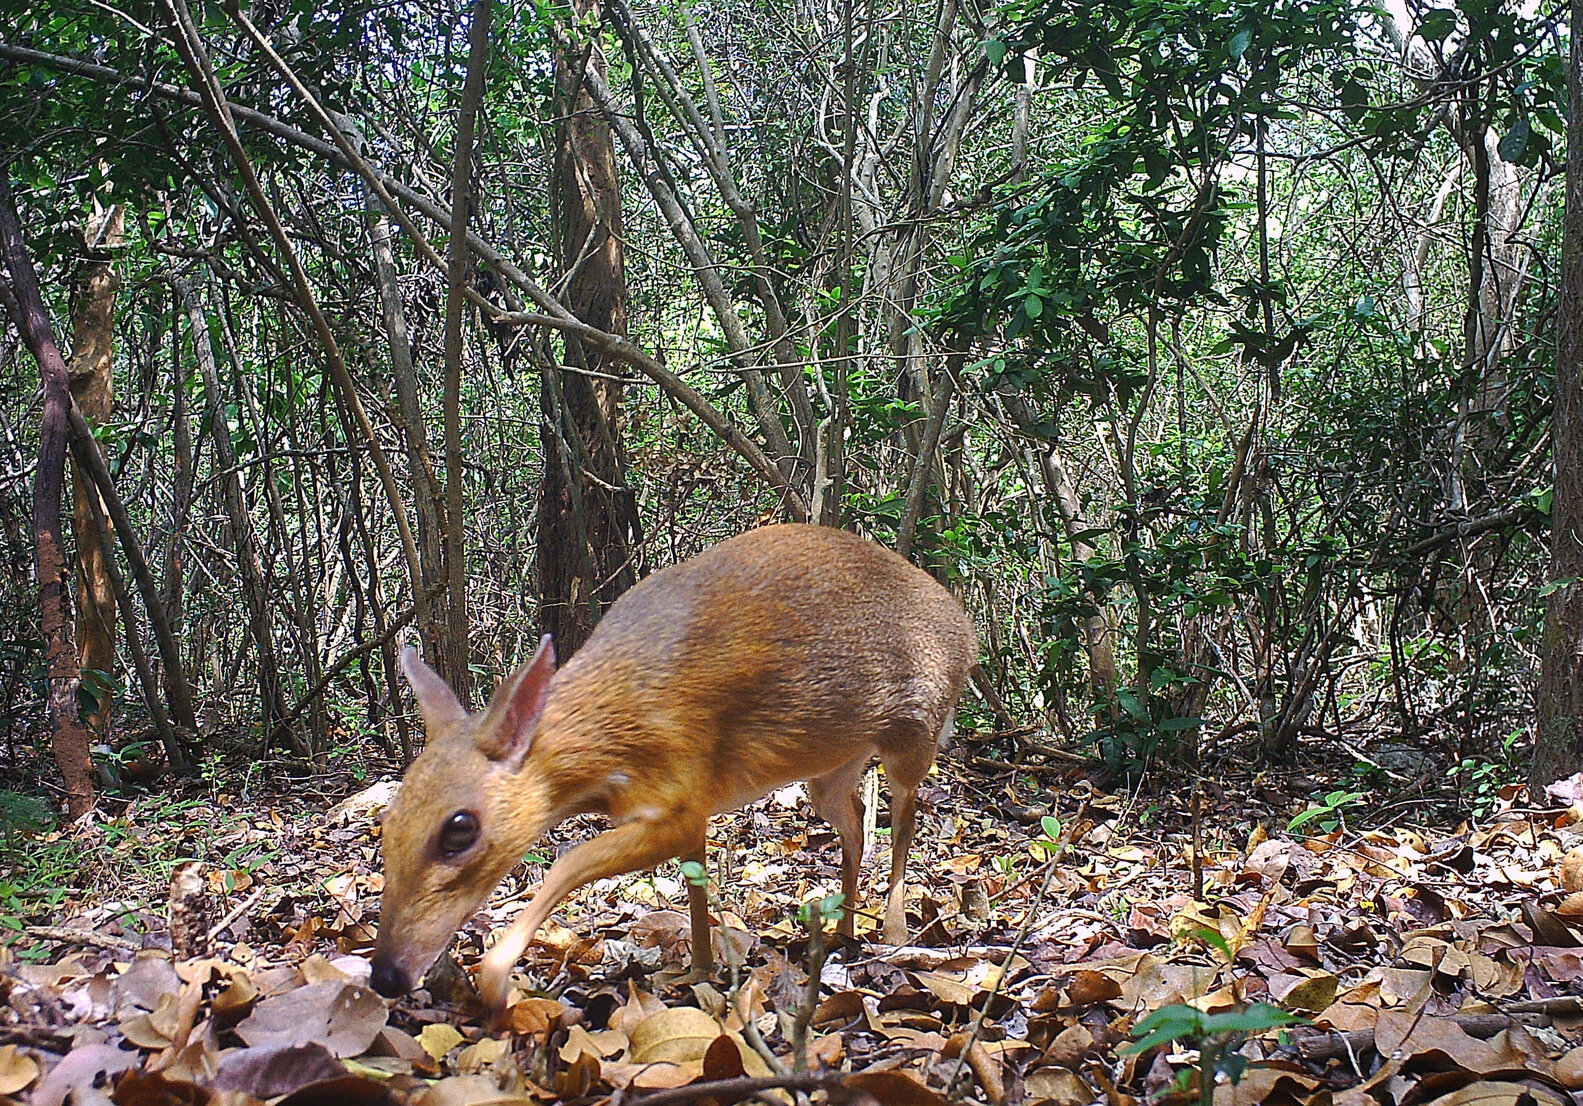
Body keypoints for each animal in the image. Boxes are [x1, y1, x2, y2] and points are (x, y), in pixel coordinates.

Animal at [369, 523, 977, 1022]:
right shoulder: (690, 807)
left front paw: (495, 981)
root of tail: (967, 632)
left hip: (915, 733)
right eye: (387, 822)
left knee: (904, 821)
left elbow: (568, 862)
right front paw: (698, 971)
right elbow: (694, 882)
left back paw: (893, 931)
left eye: (459, 829)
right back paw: (844, 931)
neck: (612, 731)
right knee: (852, 817)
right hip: (830, 766)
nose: (386, 974)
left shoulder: (680, 792)